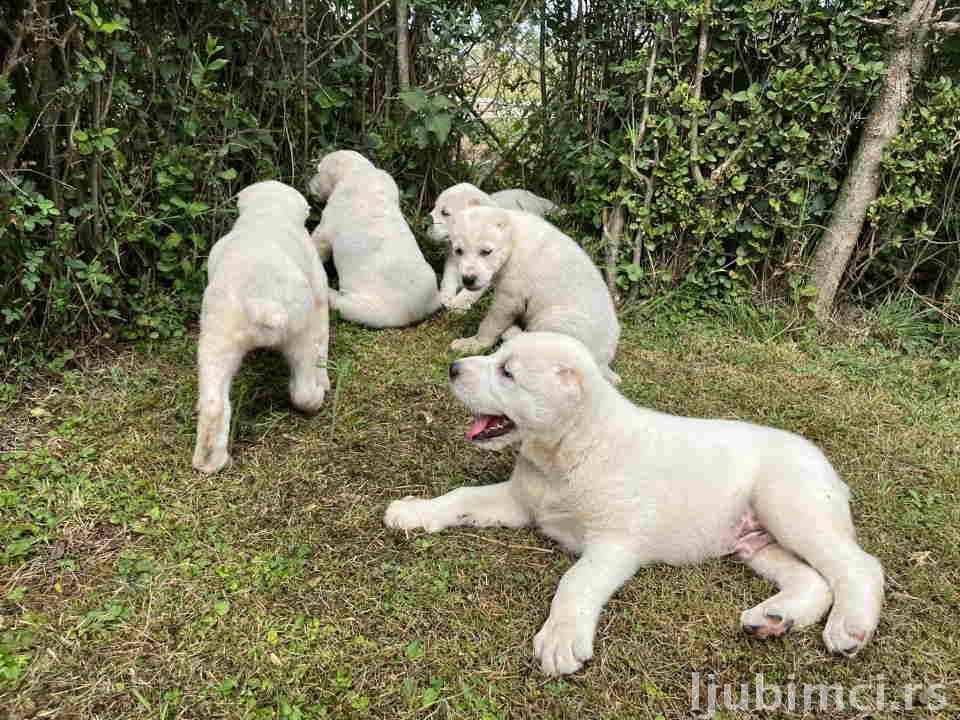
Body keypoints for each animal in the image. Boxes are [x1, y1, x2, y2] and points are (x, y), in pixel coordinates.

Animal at [193, 180, 332, 476]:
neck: (267, 213)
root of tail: (260, 301)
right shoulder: (319, 296)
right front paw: (325, 382)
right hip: (300, 334)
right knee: (303, 387)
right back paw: (315, 397)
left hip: (217, 338)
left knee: (214, 403)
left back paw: (209, 462)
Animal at [310, 150, 440, 328]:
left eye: (318, 170)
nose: (309, 184)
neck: (358, 170)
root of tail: (416, 312)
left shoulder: (337, 206)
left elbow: (321, 240)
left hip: (375, 307)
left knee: (348, 307)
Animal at [382, 332, 884, 676]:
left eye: (507, 372)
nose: (453, 367)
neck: (569, 453)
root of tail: (829, 469)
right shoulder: (519, 502)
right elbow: (461, 497)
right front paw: (414, 511)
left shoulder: (615, 544)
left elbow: (575, 581)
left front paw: (561, 637)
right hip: (757, 541)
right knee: (814, 579)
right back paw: (775, 619)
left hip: (791, 507)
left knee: (858, 566)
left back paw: (849, 626)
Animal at [432, 181, 560, 310]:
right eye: (434, 207)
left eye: (444, 213)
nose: (426, 224)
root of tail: (534, 196)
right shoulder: (453, 257)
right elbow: (448, 278)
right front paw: (445, 296)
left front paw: (458, 303)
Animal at [450, 205, 624, 386]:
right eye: (458, 251)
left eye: (486, 251)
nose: (468, 279)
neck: (514, 236)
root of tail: (603, 362)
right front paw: (458, 302)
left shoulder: (515, 283)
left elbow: (497, 316)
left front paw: (470, 343)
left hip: (561, 319)